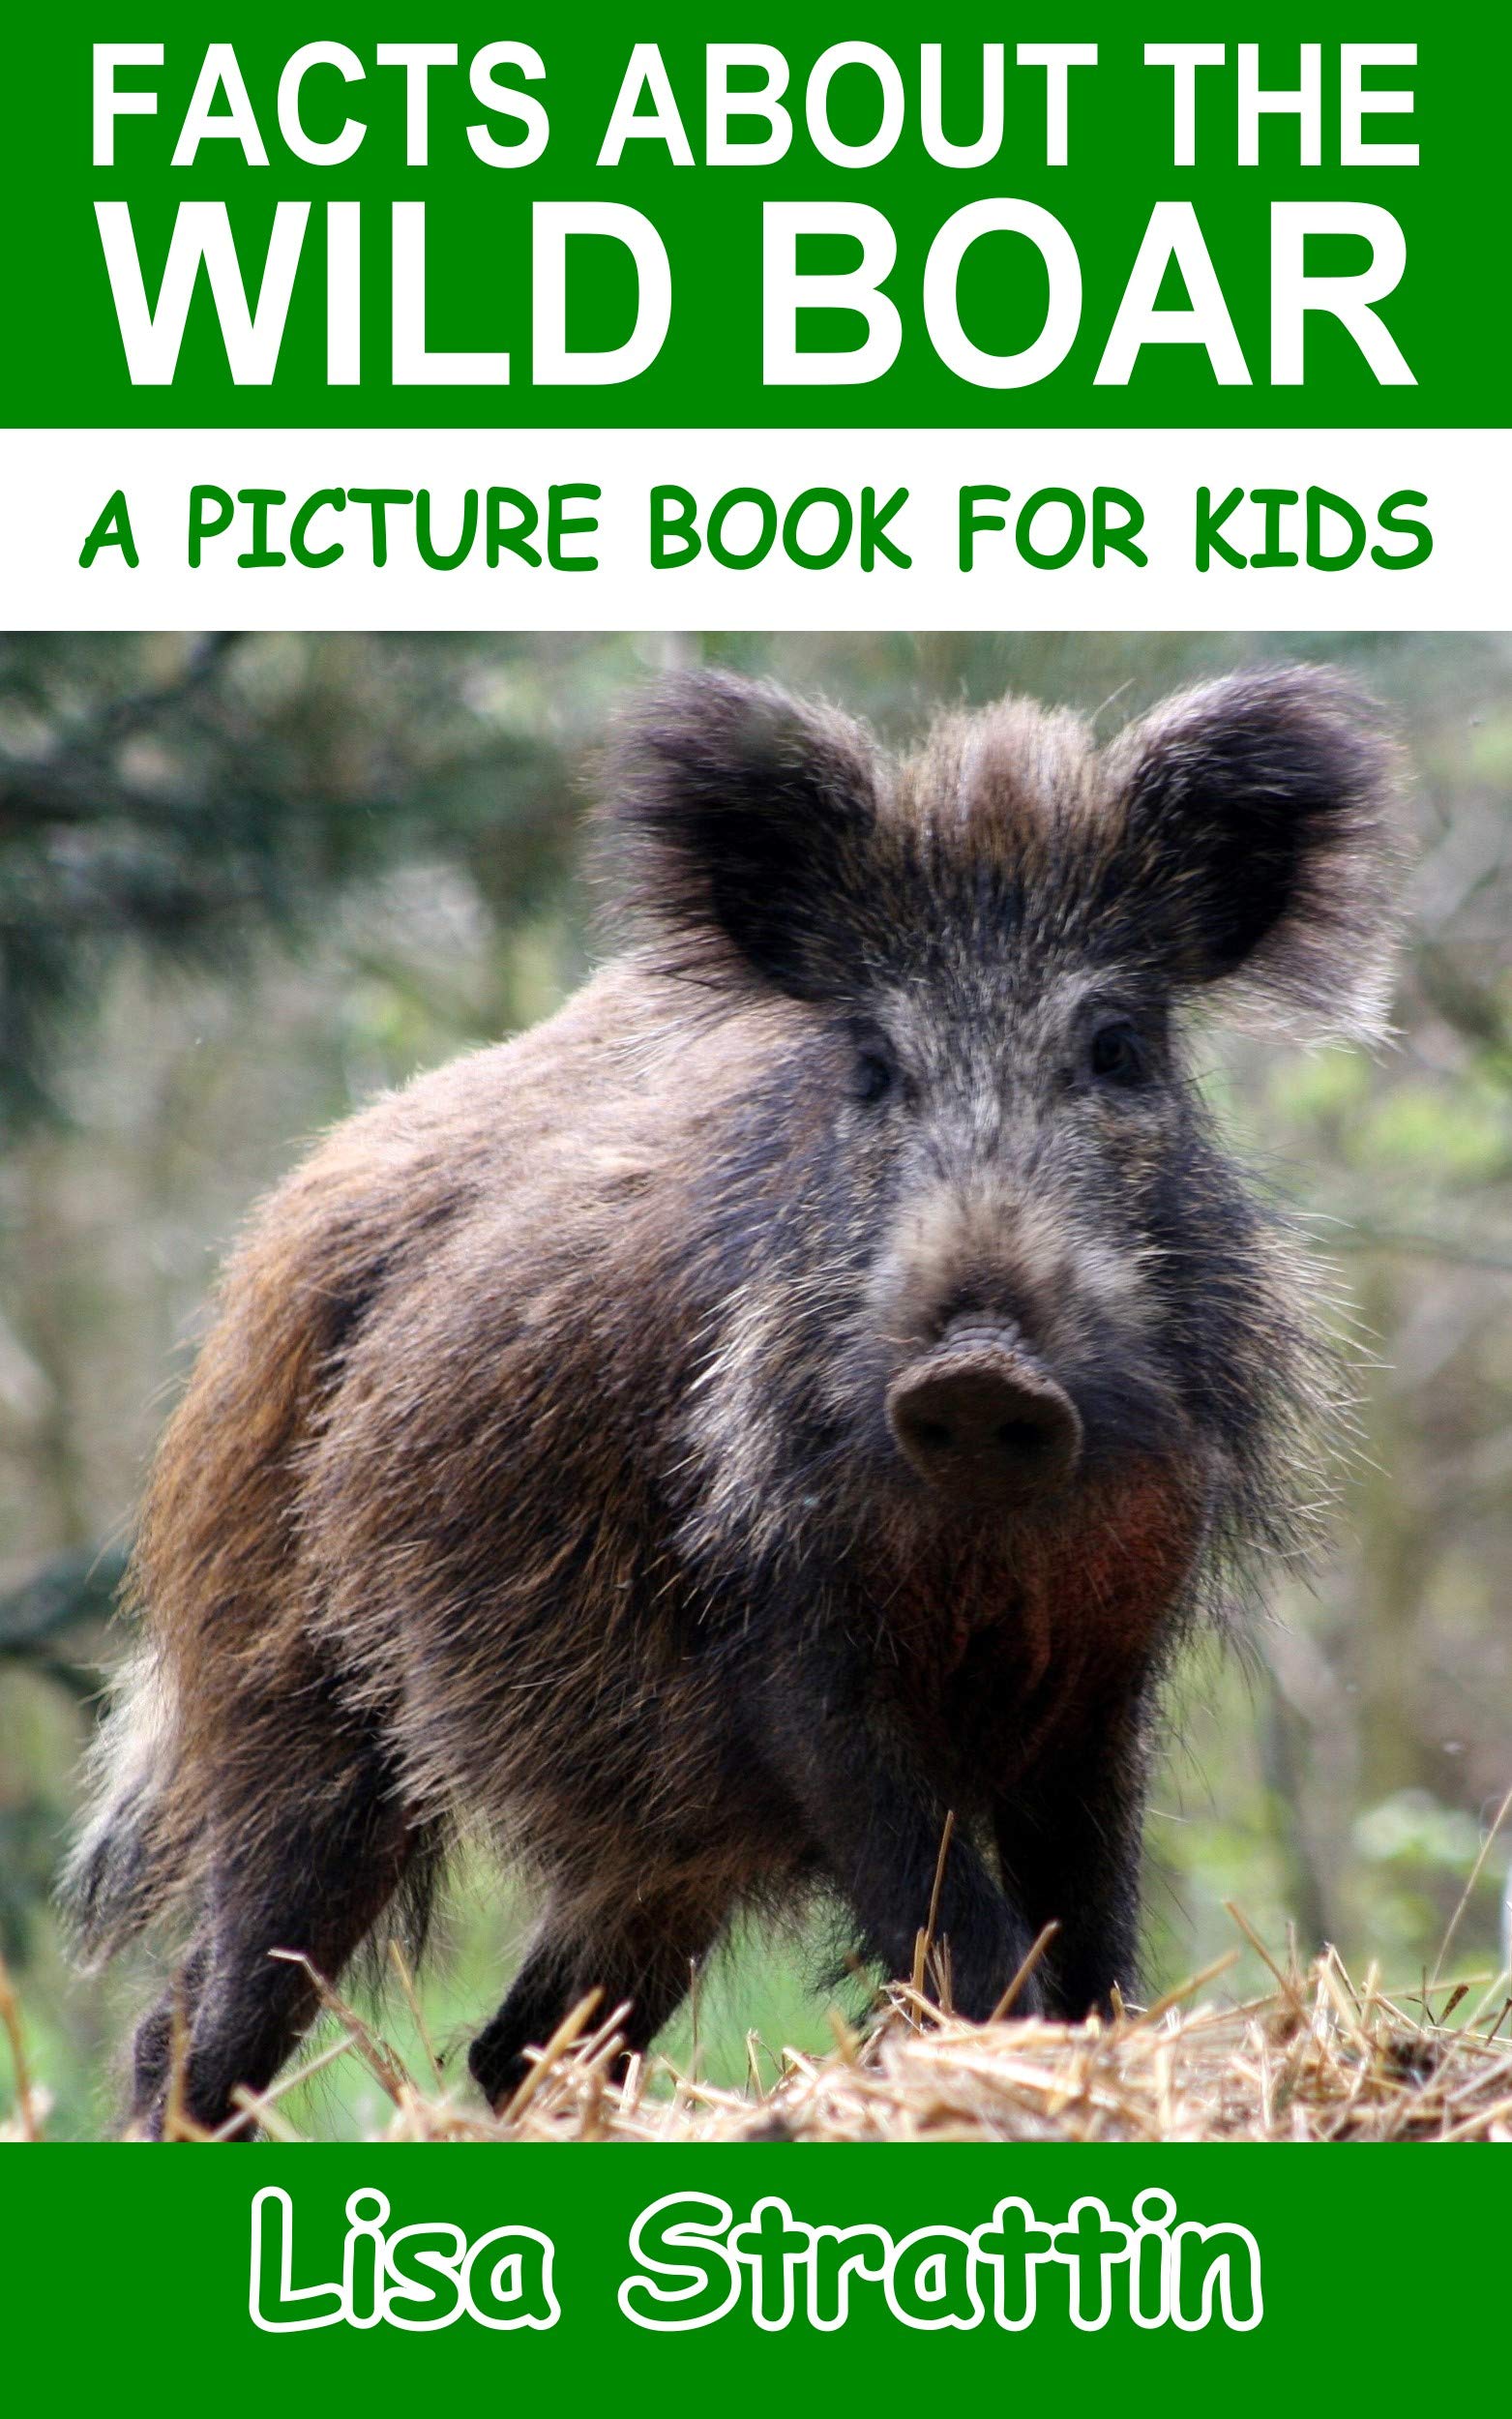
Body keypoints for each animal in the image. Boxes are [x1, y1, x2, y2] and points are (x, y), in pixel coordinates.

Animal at [65, 664, 1403, 2133]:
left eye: (1116, 1049)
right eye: (871, 1064)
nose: (977, 1370)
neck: (983, 1566)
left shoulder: (1107, 1665)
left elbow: (1090, 1935)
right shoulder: (786, 1657)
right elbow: (962, 1934)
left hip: (645, 1842)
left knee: (520, 2043)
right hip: (289, 1701)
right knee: (204, 2017)